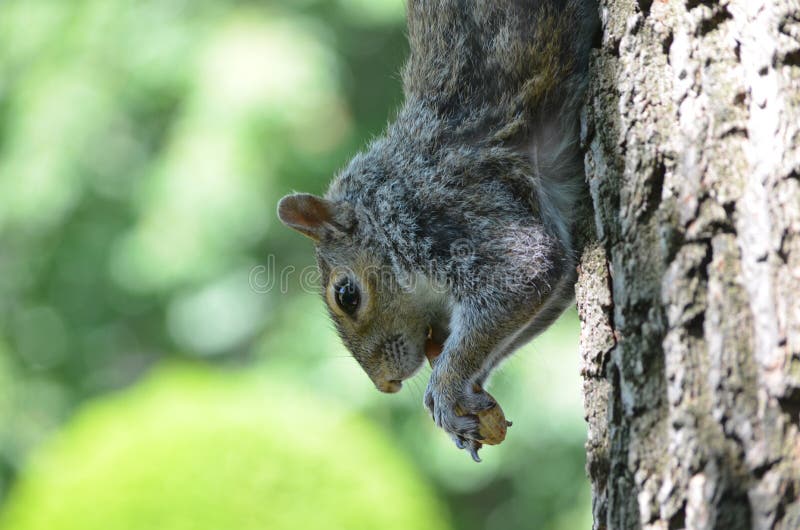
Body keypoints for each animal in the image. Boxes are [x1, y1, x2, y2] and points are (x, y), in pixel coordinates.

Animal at [278, 0, 599, 461]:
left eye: (346, 295)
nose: (385, 385)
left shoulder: (439, 214)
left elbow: (525, 271)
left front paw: (445, 389)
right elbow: (547, 292)